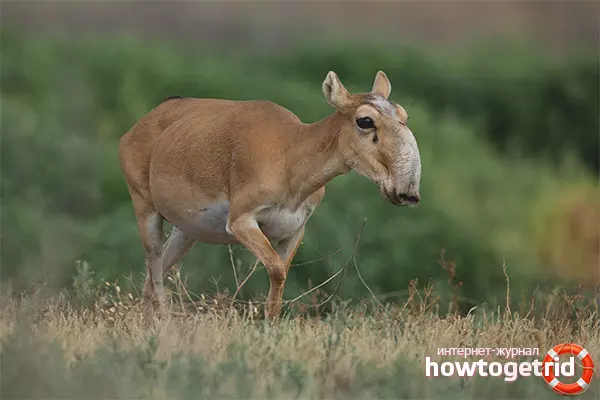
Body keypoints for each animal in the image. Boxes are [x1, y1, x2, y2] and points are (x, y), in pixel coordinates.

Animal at [118, 70, 422, 320]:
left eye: (403, 115)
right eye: (365, 120)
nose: (408, 193)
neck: (290, 152)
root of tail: (139, 127)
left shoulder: (294, 231)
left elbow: (281, 275)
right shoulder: (241, 221)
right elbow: (276, 269)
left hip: (186, 232)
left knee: (151, 278)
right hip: (147, 212)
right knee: (155, 273)